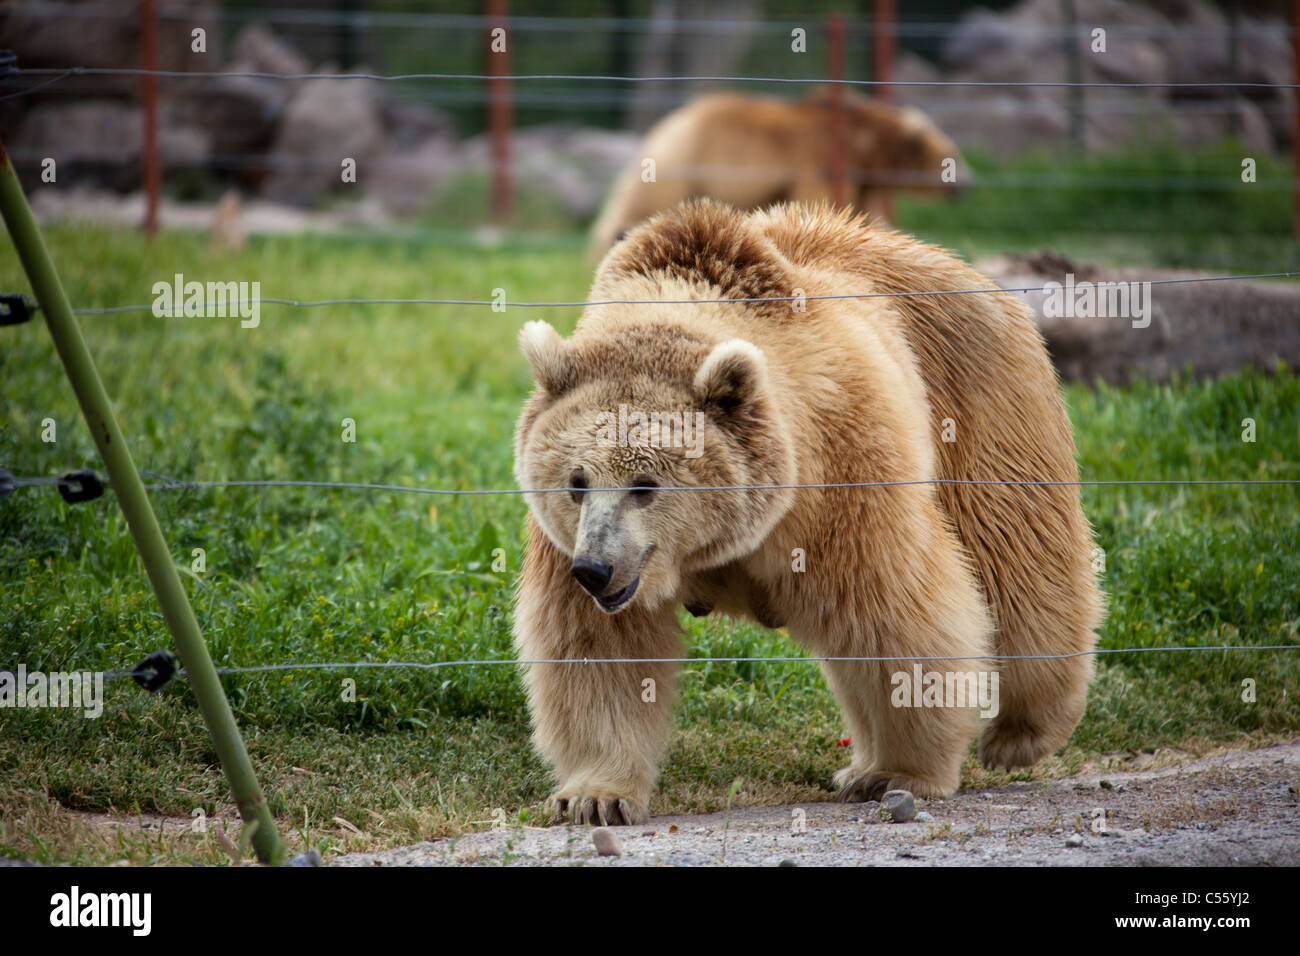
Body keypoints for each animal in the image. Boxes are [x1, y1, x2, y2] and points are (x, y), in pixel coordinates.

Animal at [514, 199, 1104, 826]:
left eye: (645, 484)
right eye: (576, 482)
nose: (595, 570)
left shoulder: (843, 477)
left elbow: (896, 613)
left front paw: (905, 770)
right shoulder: (571, 546)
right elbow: (597, 650)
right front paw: (595, 796)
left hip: (979, 407)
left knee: (1019, 560)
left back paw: (1021, 733)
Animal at [588, 88, 964, 257]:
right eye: (951, 157)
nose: (965, 183)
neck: (865, 146)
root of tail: (671, 120)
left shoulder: (861, 179)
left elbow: (865, 212)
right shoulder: (816, 163)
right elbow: (819, 201)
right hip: (684, 163)